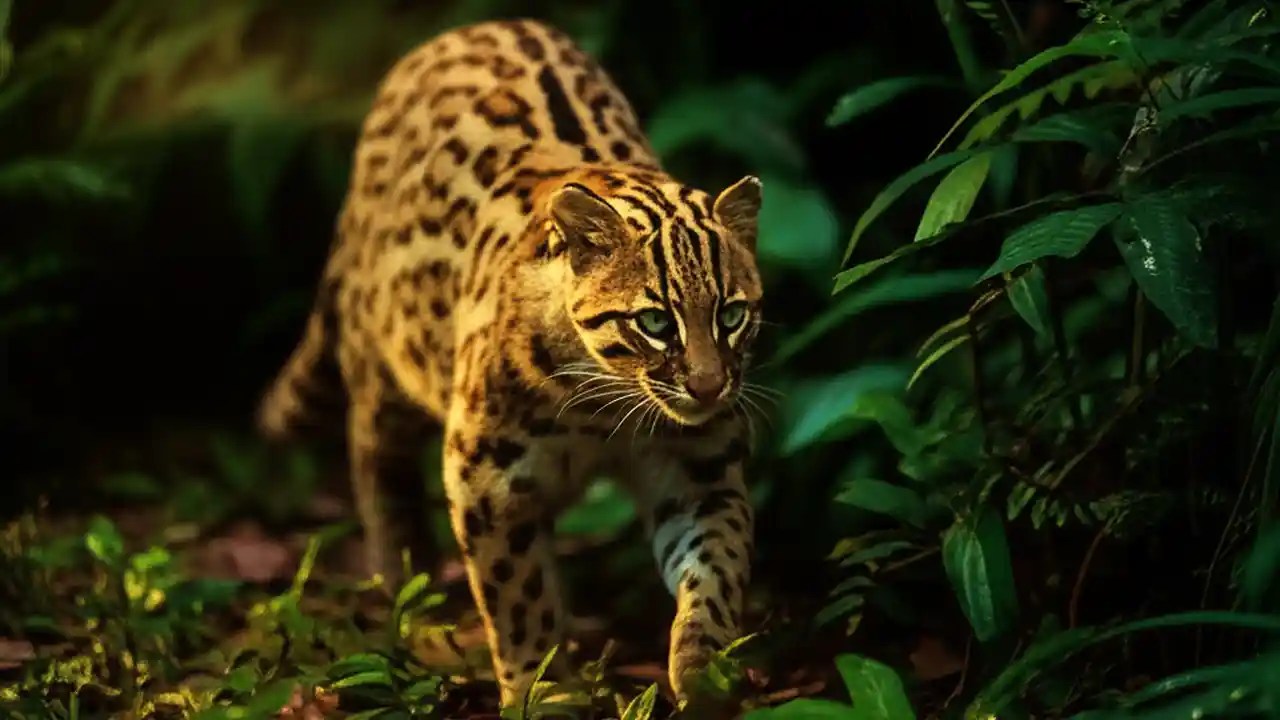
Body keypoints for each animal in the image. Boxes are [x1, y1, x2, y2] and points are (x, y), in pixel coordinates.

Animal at [256, 18, 765, 708]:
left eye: (732, 314)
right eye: (656, 322)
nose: (711, 388)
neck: (604, 412)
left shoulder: (702, 467)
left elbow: (716, 568)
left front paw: (705, 673)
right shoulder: (486, 477)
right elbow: (520, 600)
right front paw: (541, 692)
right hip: (384, 368)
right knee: (376, 464)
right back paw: (414, 598)